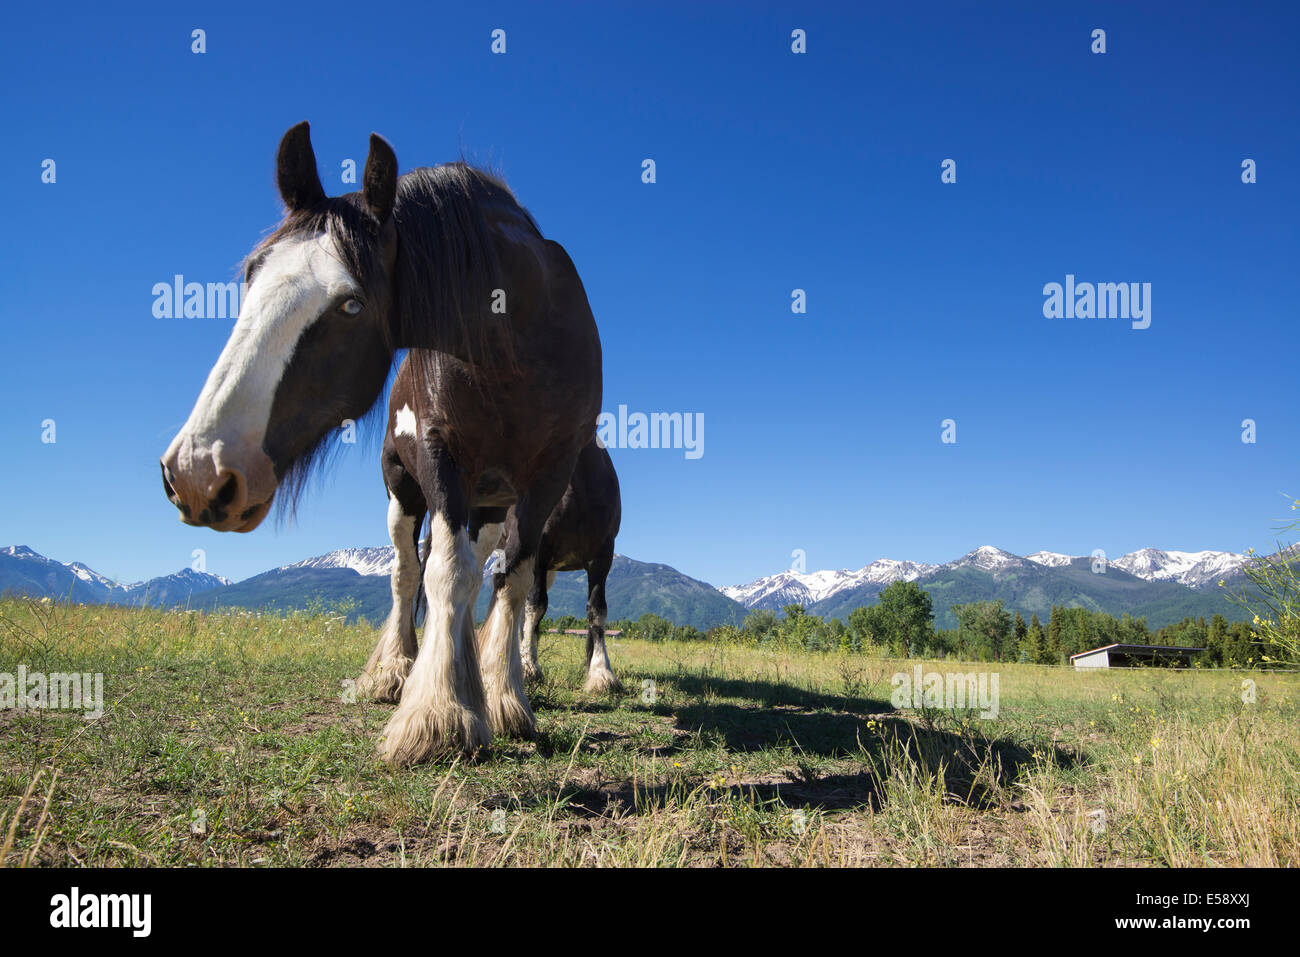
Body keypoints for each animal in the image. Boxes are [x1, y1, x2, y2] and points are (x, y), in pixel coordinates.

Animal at [357, 355, 622, 700]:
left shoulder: (602, 556)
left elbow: (596, 610)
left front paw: (600, 672)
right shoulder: (540, 553)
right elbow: (536, 606)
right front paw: (529, 666)